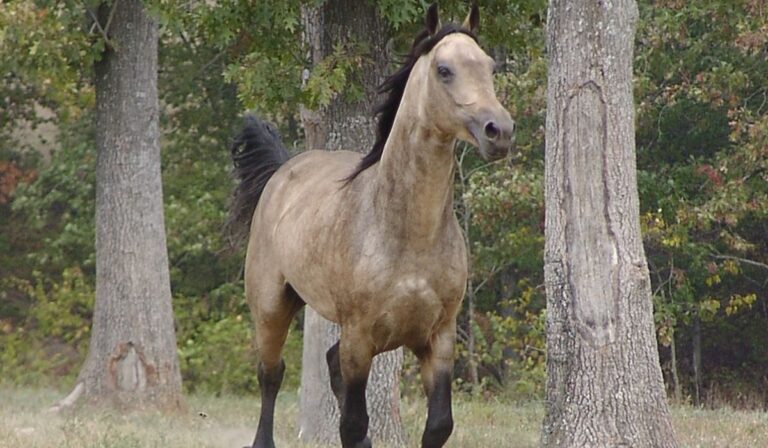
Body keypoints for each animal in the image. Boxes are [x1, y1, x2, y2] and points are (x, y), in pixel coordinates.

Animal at [227, 4, 515, 448]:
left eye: (489, 66)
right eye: (444, 70)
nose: (499, 131)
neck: (407, 234)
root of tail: (283, 168)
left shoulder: (439, 337)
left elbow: (438, 424)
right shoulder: (360, 337)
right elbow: (352, 422)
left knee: (327, 363)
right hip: (272, 305)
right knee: (271, 375)